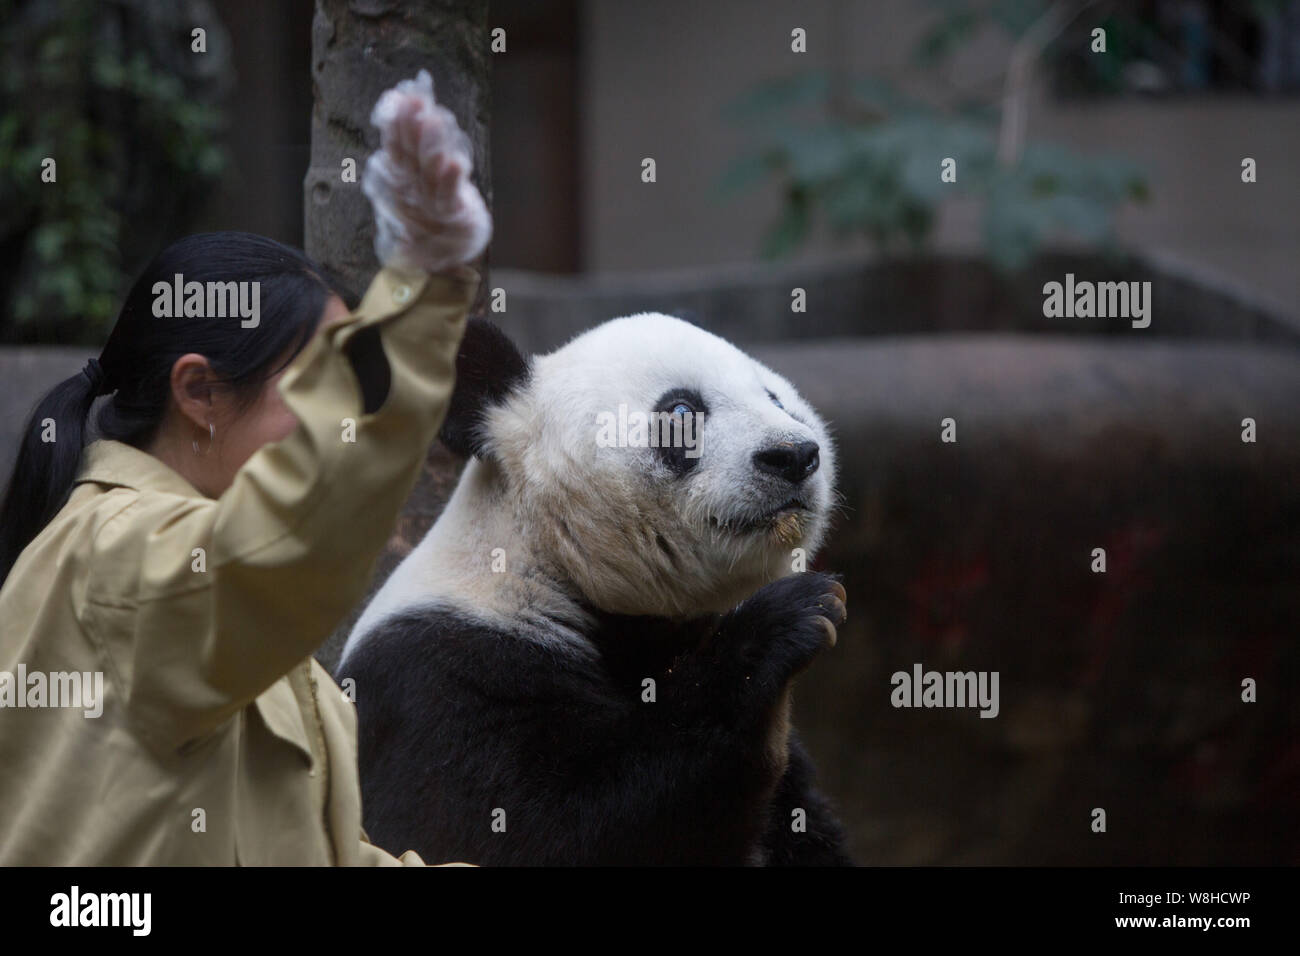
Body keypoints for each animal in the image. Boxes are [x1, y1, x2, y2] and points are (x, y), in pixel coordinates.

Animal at [337, 313, 852, 866]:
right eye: (683, 410)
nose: (794, 455)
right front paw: (786, 622)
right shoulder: (438, 676)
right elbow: (544, 827)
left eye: (776, 398)